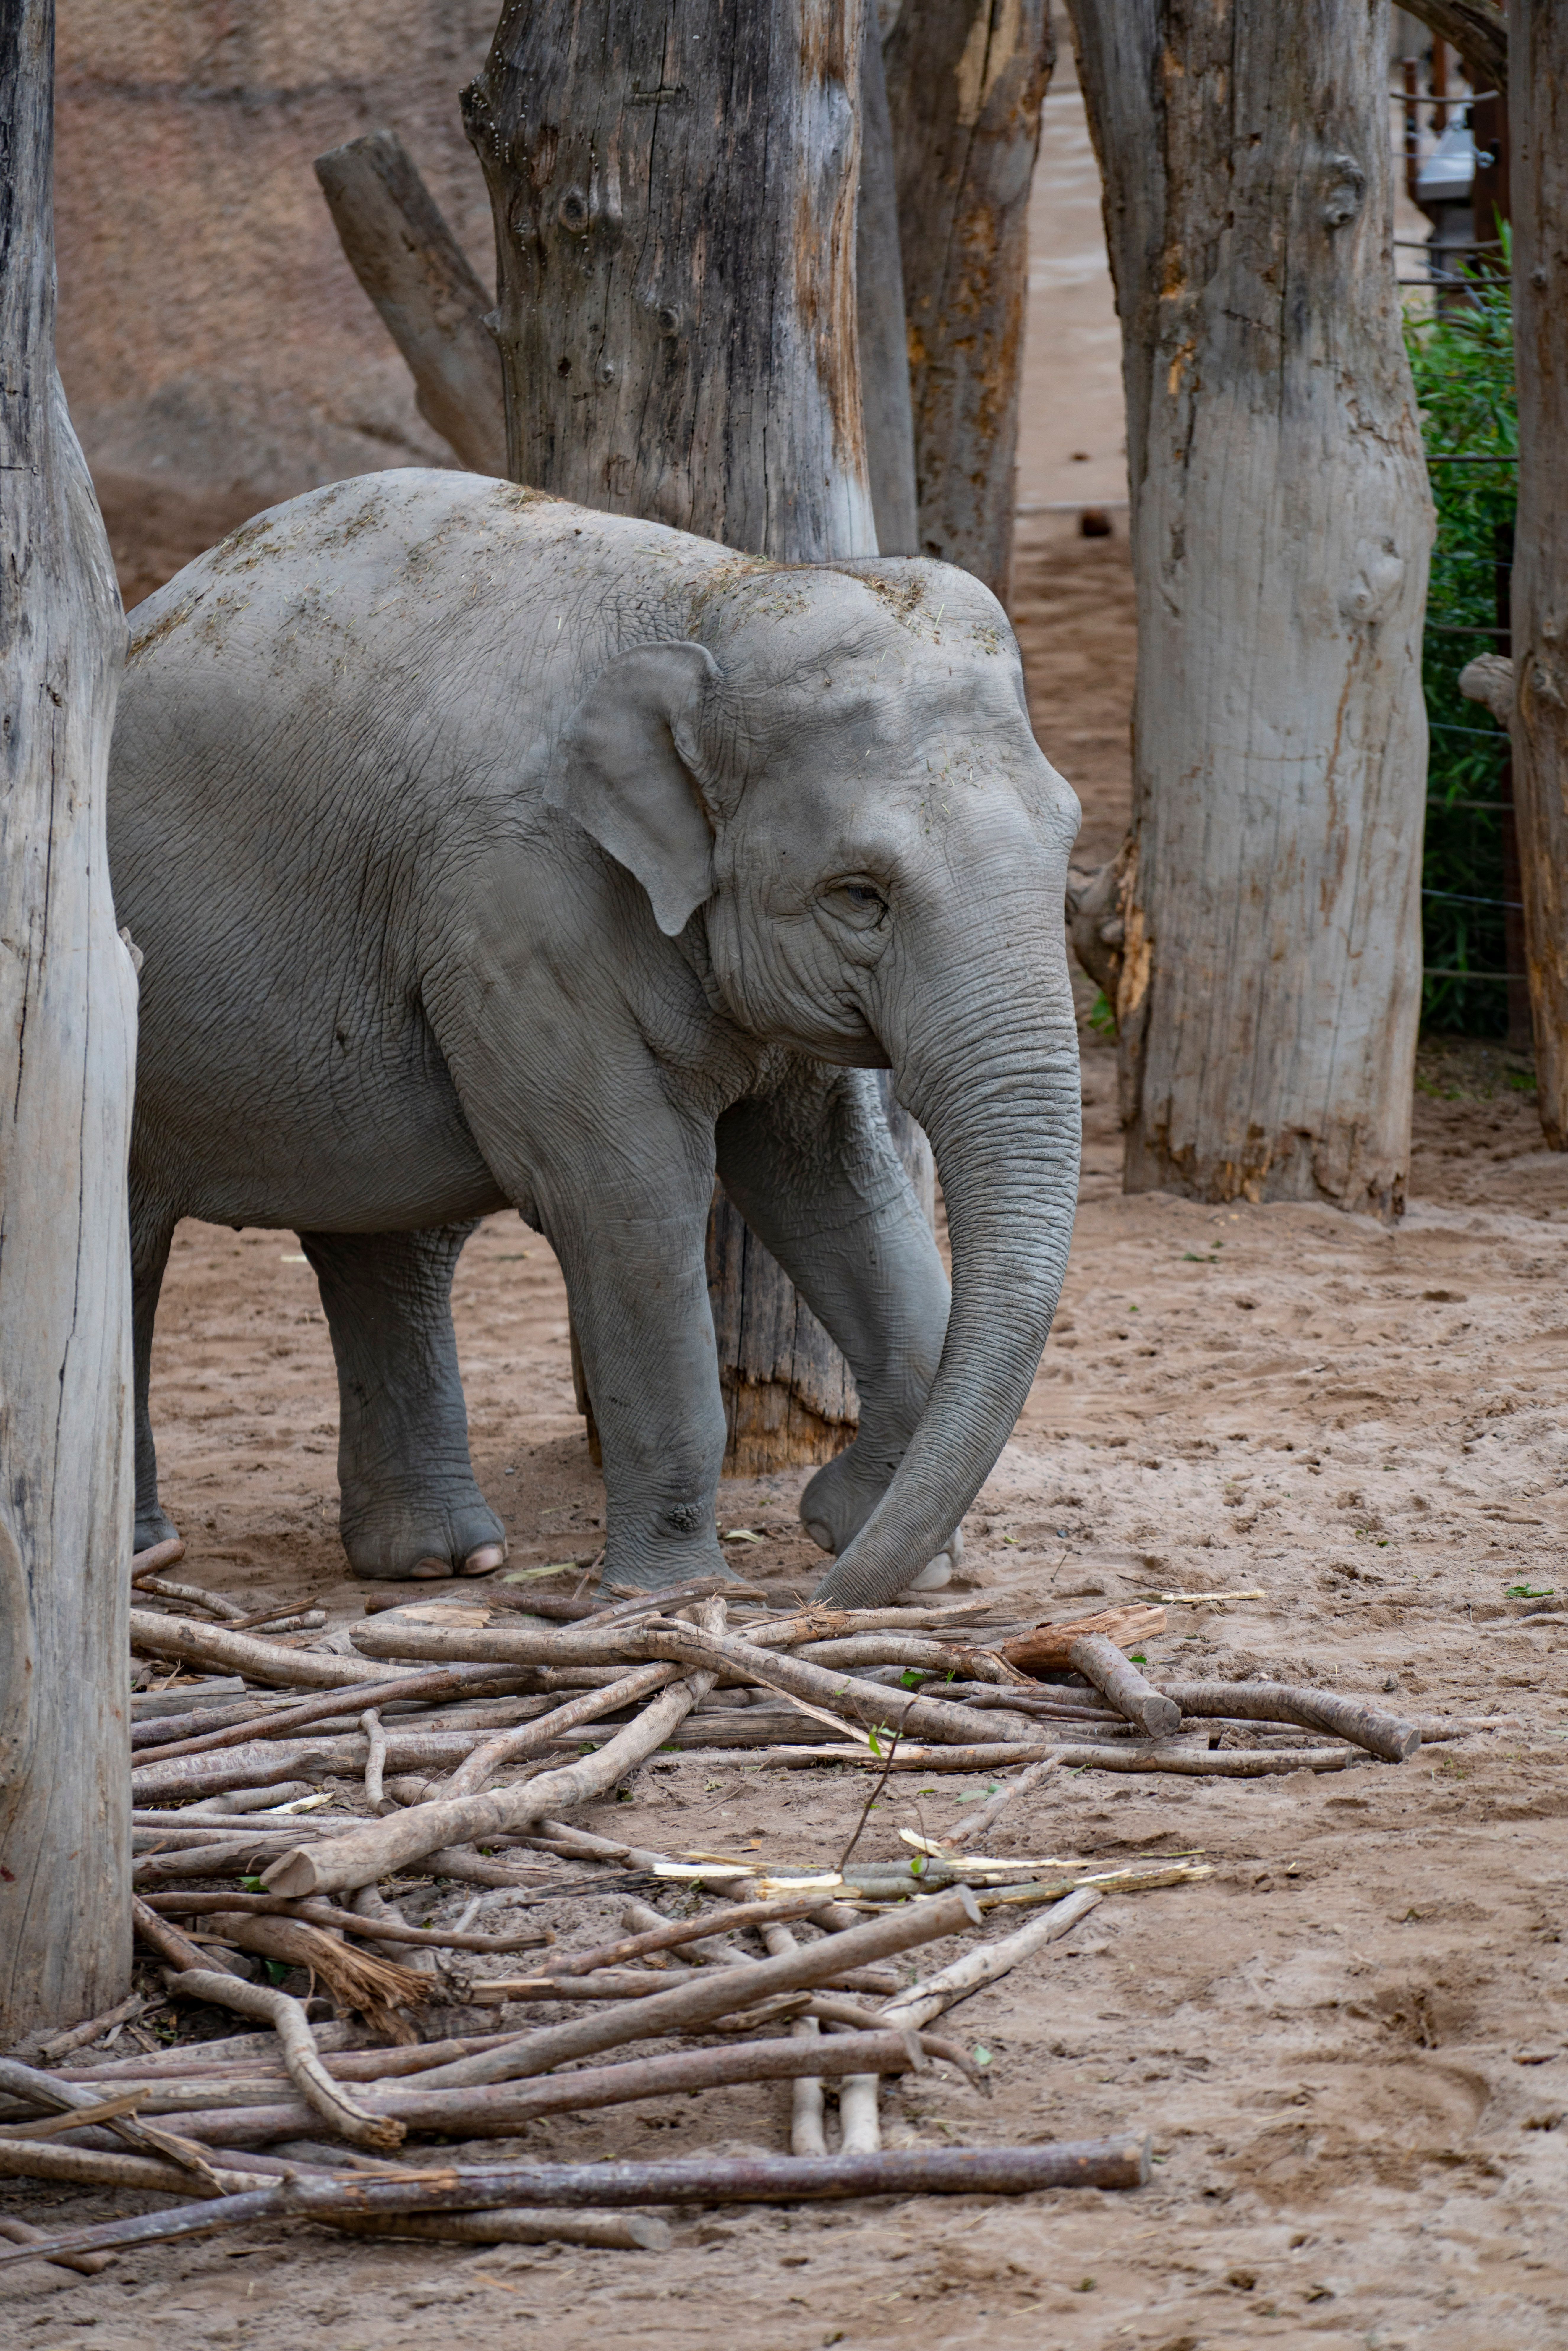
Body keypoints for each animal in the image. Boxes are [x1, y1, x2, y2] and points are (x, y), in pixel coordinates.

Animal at [109, 470, 1081, 1605]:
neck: (717, 595)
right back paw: (152, 1559)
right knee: (130, 1232)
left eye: (1068, 837)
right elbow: (626, 1201)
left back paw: (440, 1562)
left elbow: (829, 1184)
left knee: (383, 1241)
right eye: (858, 894)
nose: (818, 1591)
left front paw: (887, 1550)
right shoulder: (518, 903)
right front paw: (671, 1596)